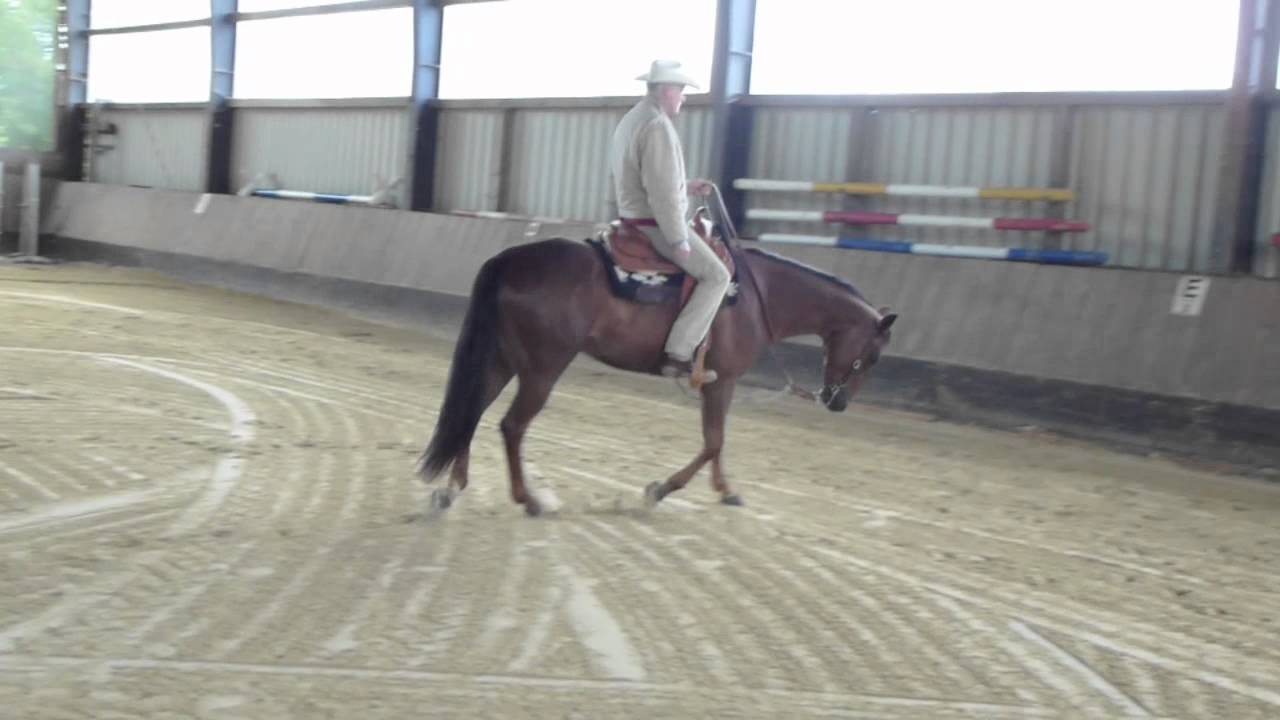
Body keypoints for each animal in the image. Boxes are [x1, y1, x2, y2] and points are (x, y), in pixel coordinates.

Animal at [417, 208, 898, 516]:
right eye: (873, 355)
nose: (836, 402)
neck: (758, 295)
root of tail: (510, 259)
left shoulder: (718, 383)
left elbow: (716, 441)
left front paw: (725, 492)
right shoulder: (722, 381)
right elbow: (714, 441)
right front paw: (660, 490)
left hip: (502, 359)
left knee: (473, 412)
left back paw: (452, 490)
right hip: (542, 368)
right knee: (511, 426)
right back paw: (529, 500)